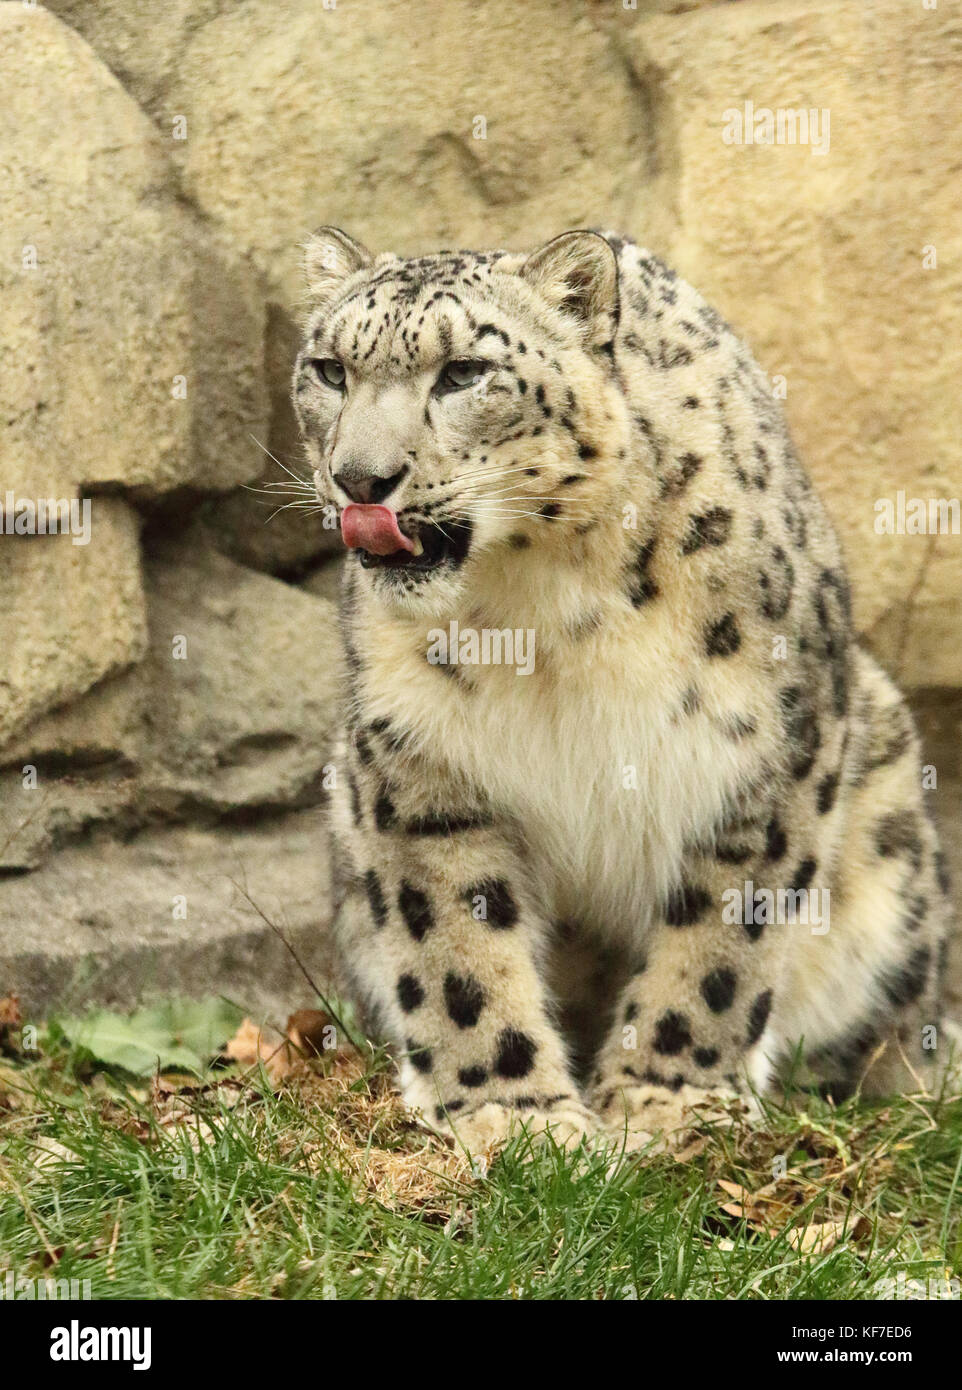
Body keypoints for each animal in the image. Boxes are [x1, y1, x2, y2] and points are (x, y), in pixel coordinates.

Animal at [291, 225, 953, 1156]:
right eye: (329, 370)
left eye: (463, 372)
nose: (360, 479)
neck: (537, 607)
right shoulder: (421, 766)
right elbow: (456, 947)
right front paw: (512, 1113)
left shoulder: (767, 746)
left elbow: (722, 938)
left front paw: (668, 1097)